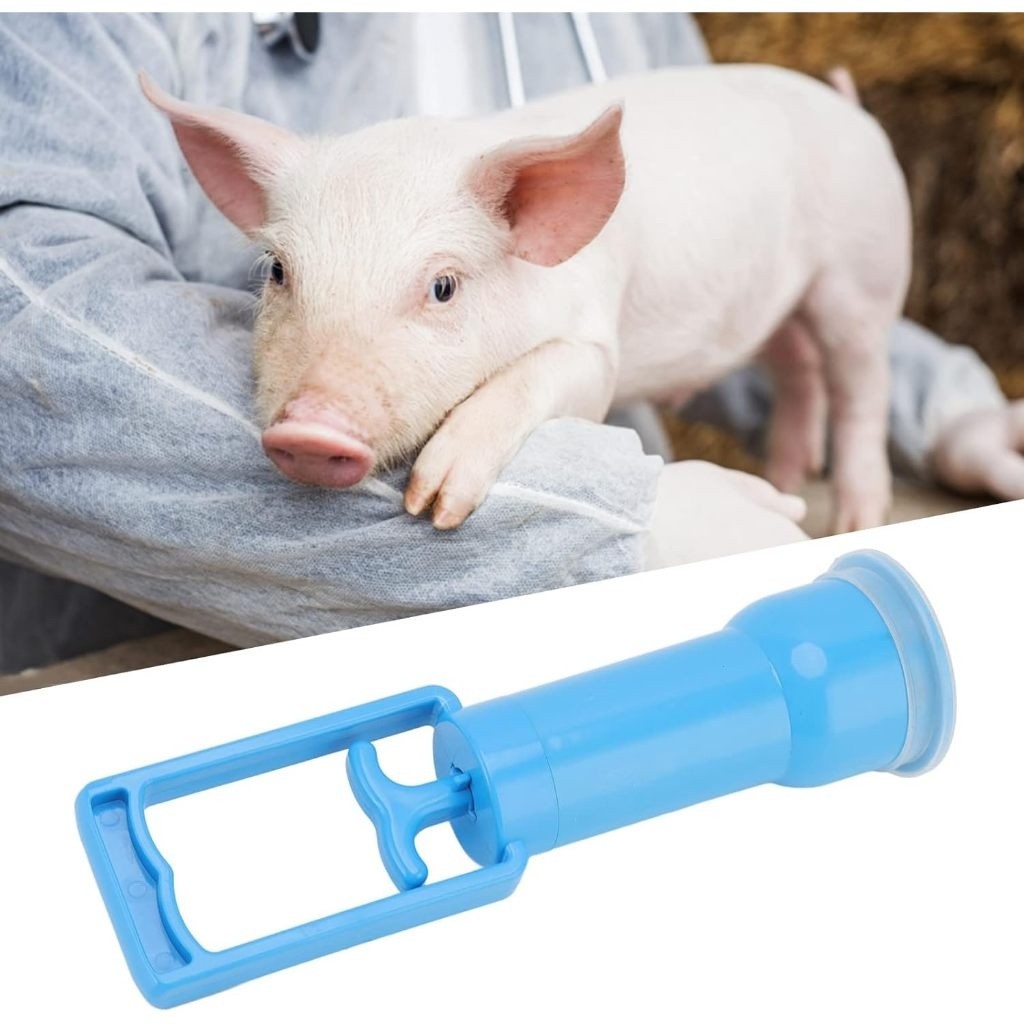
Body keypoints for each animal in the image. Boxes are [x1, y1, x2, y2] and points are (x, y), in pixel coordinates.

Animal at [141, 62, 909, 532]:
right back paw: (787, 482)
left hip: (863, 274)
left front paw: (437, 505)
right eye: (278, 272)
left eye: (443, 286)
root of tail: (847, 106)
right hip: (780, 305)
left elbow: (550, 377)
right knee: (798, 369)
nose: (308, 429)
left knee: (863, 387)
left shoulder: (596, 347)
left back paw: (854, 519)